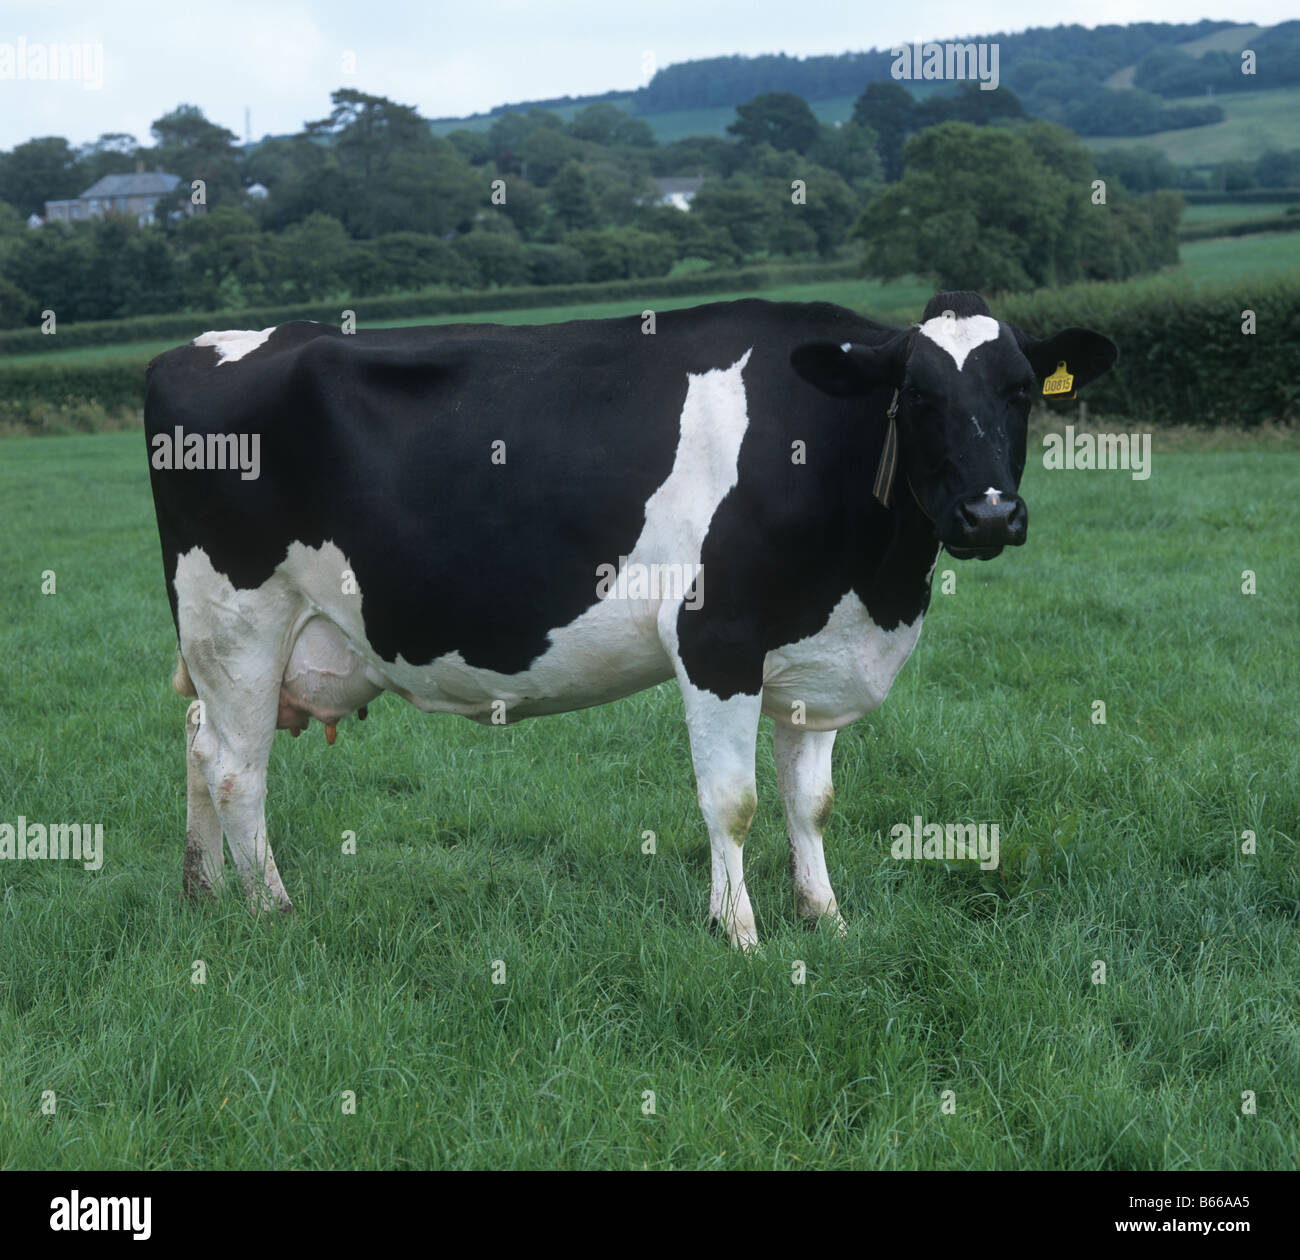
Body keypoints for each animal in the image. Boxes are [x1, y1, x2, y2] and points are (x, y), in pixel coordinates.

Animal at [145, 291, 1117, 948]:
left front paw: (826, 919)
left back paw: (202, 892)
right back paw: (272, 910)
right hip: (239, 619)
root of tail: (196, 347)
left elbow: (811, 803)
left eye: (1022, 391)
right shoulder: (716, 642)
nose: (989, 514)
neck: (873, 588)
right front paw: (741, 935)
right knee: (236, 769)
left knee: (196, 742)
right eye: (915, 397)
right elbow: (734, 803)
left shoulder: (817, 658)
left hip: (241, 641)